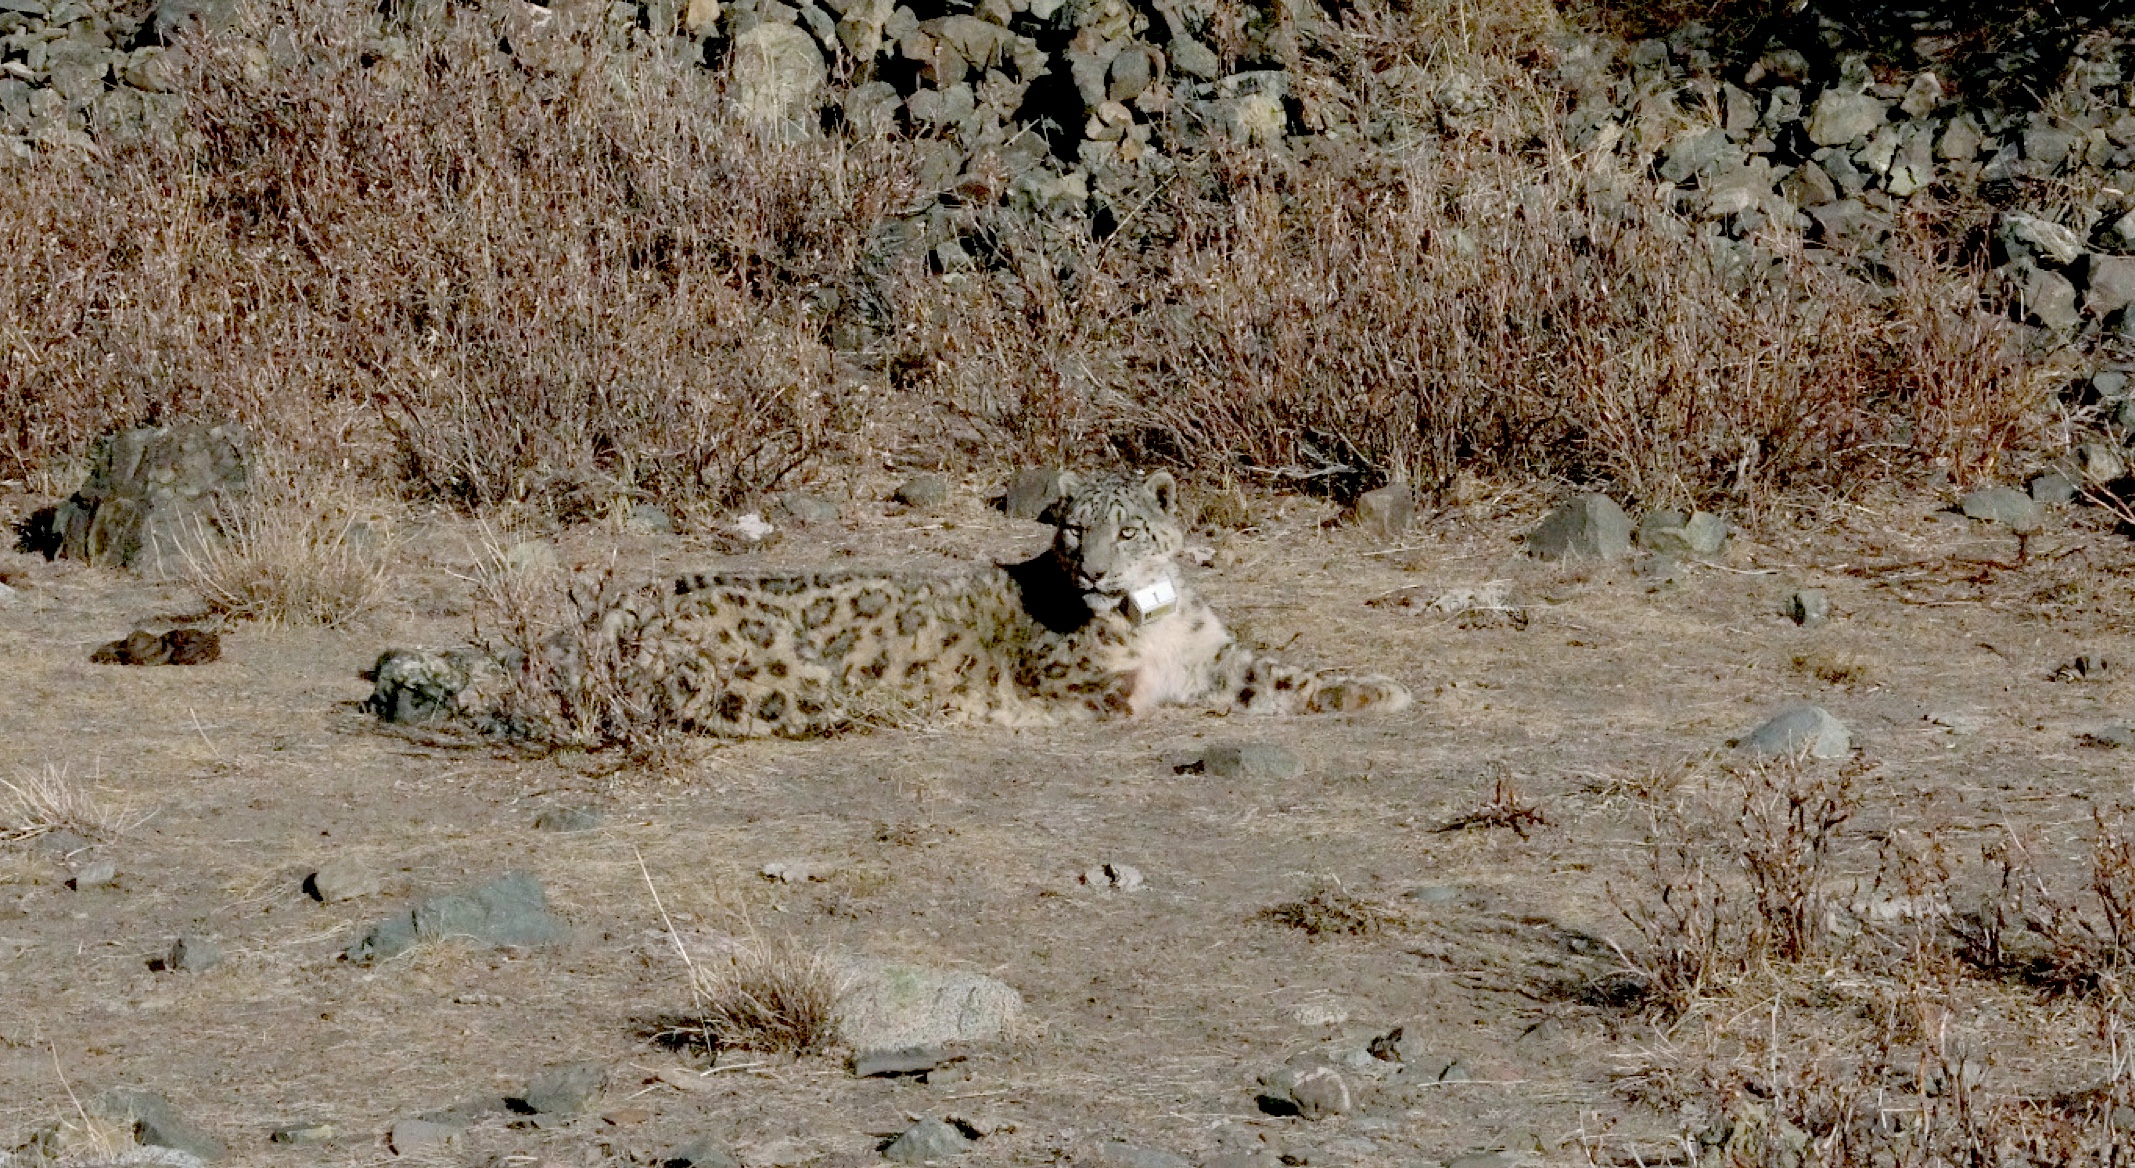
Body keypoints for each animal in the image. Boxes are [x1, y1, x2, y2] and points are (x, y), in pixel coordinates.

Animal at [365, 471, 1410, 739]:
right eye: (1073, 532)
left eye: (1129, 531)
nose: (1095, 575)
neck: (1149, 623)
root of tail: (607, 611)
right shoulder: (1087, 687)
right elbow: (1129, 695)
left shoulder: (1220, 657)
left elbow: (1285, 675)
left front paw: (1382, 690)